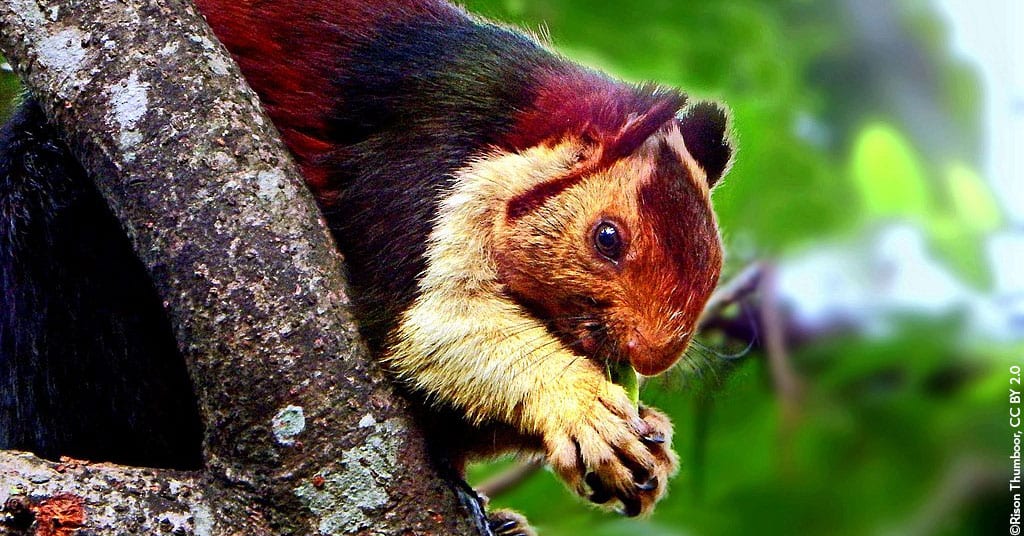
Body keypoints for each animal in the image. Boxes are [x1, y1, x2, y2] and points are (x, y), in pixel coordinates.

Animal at [0, 0, 732, 525]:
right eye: (607, 238)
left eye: (712, 268)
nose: (649, 354)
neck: (515, 127)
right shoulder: (413, 177)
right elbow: (418, 329)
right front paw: (580, 405)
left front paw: (651, 438)